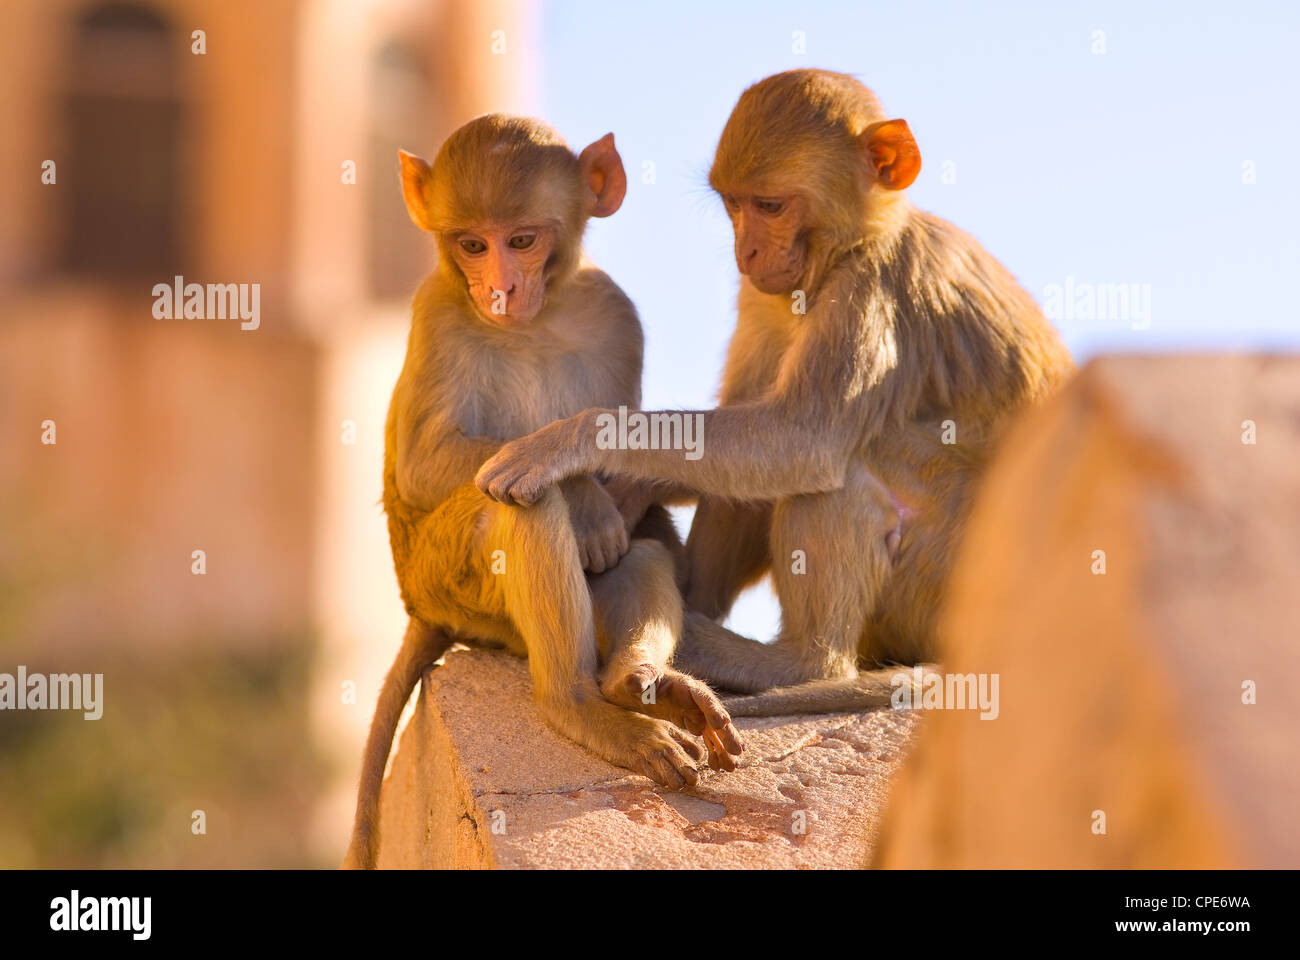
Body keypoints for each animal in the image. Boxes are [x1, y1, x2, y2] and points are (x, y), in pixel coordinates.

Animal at [344, 115, 743, 870]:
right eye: (472, 244)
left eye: (522, 240)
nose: (499, 286)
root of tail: (419, 606)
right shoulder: (437, 309)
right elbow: (422, 465)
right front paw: (580, 490)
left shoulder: (616, 315)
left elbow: (630, 476)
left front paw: (599, 477)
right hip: (452, 584)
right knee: (522, 506)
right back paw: (577, 703)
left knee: (644, 544)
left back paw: (638, 682)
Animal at [475, 70, 1075, 713]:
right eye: (733, 205)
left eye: (770, 205)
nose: (748, 252)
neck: (853, 245)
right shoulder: (763, 293)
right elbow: (734, 426)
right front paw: (630, 487)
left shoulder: (871, 292)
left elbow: (801, 441)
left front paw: (566, 442)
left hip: (948, 578)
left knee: (845, 462)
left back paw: (787, 661)